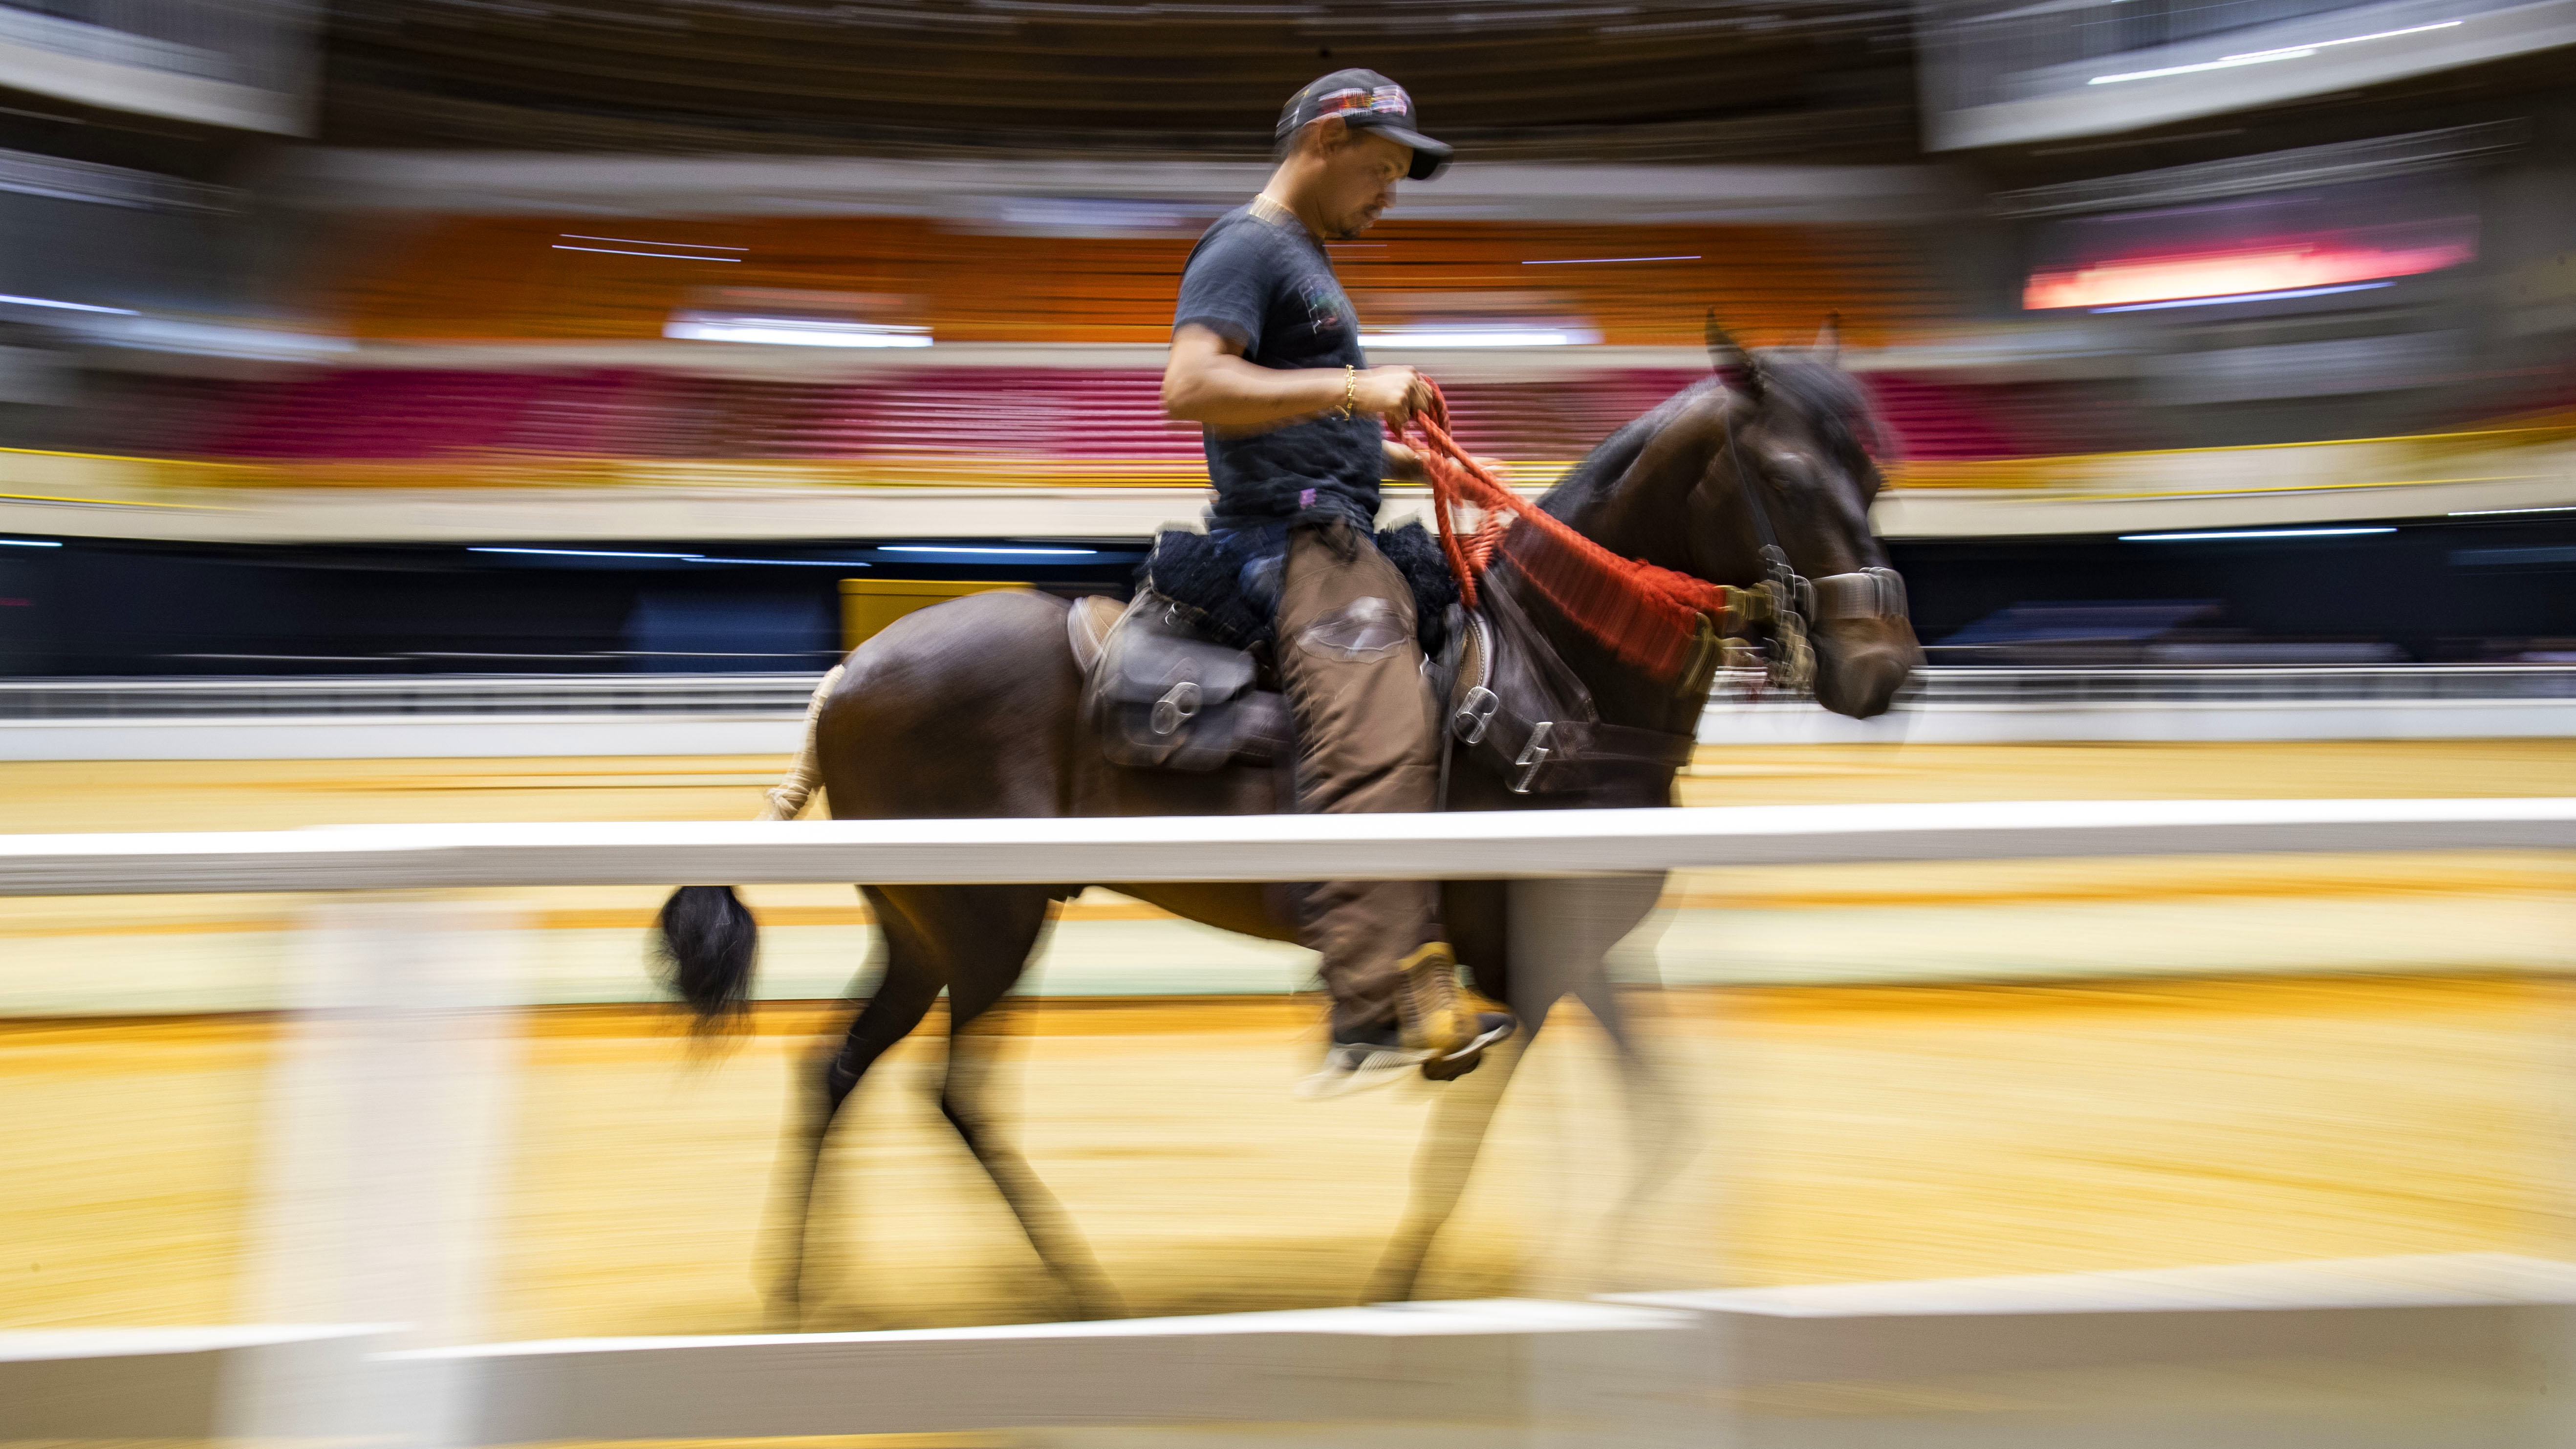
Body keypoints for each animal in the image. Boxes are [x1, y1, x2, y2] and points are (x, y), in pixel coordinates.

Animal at [656, 321, 1921, 1324]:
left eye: (1876, 470)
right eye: (1787, 475)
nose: (1885, 667)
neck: (1558, 675)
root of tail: (848, 673)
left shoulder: (1583, 951)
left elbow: (1663, 1118)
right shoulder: (1523, 955)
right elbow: (1472, 1145)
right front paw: (1401, 1291)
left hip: (921, 926)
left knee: (836, 1068)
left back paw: (808, 1291)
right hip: (988, 924)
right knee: (951, 1092)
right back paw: (1078, 1292)